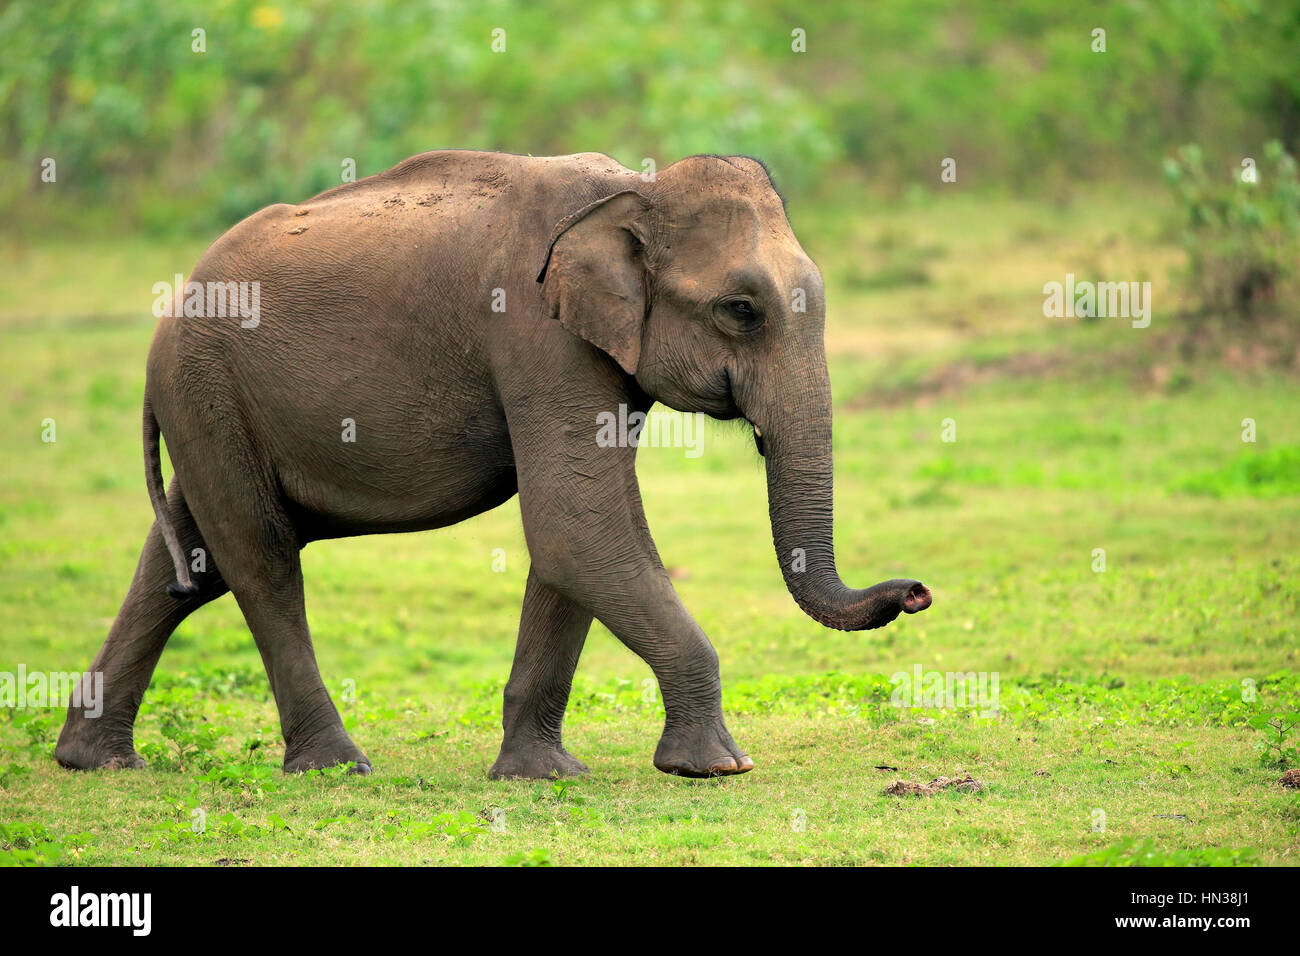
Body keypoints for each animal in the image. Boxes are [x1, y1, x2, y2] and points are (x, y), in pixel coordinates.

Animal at [54, 150, 931, 780]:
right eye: (740, 311)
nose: (916, 592)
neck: (630, 190)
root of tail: (169, 313)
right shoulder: (537, 335)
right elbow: (576, 524)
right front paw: (717, 768)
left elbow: (573, 539)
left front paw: (541, 777)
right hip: (206, 389)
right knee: (260, 558)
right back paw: (336, 768)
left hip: (211, 405)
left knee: (189, 561)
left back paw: (93, 760)